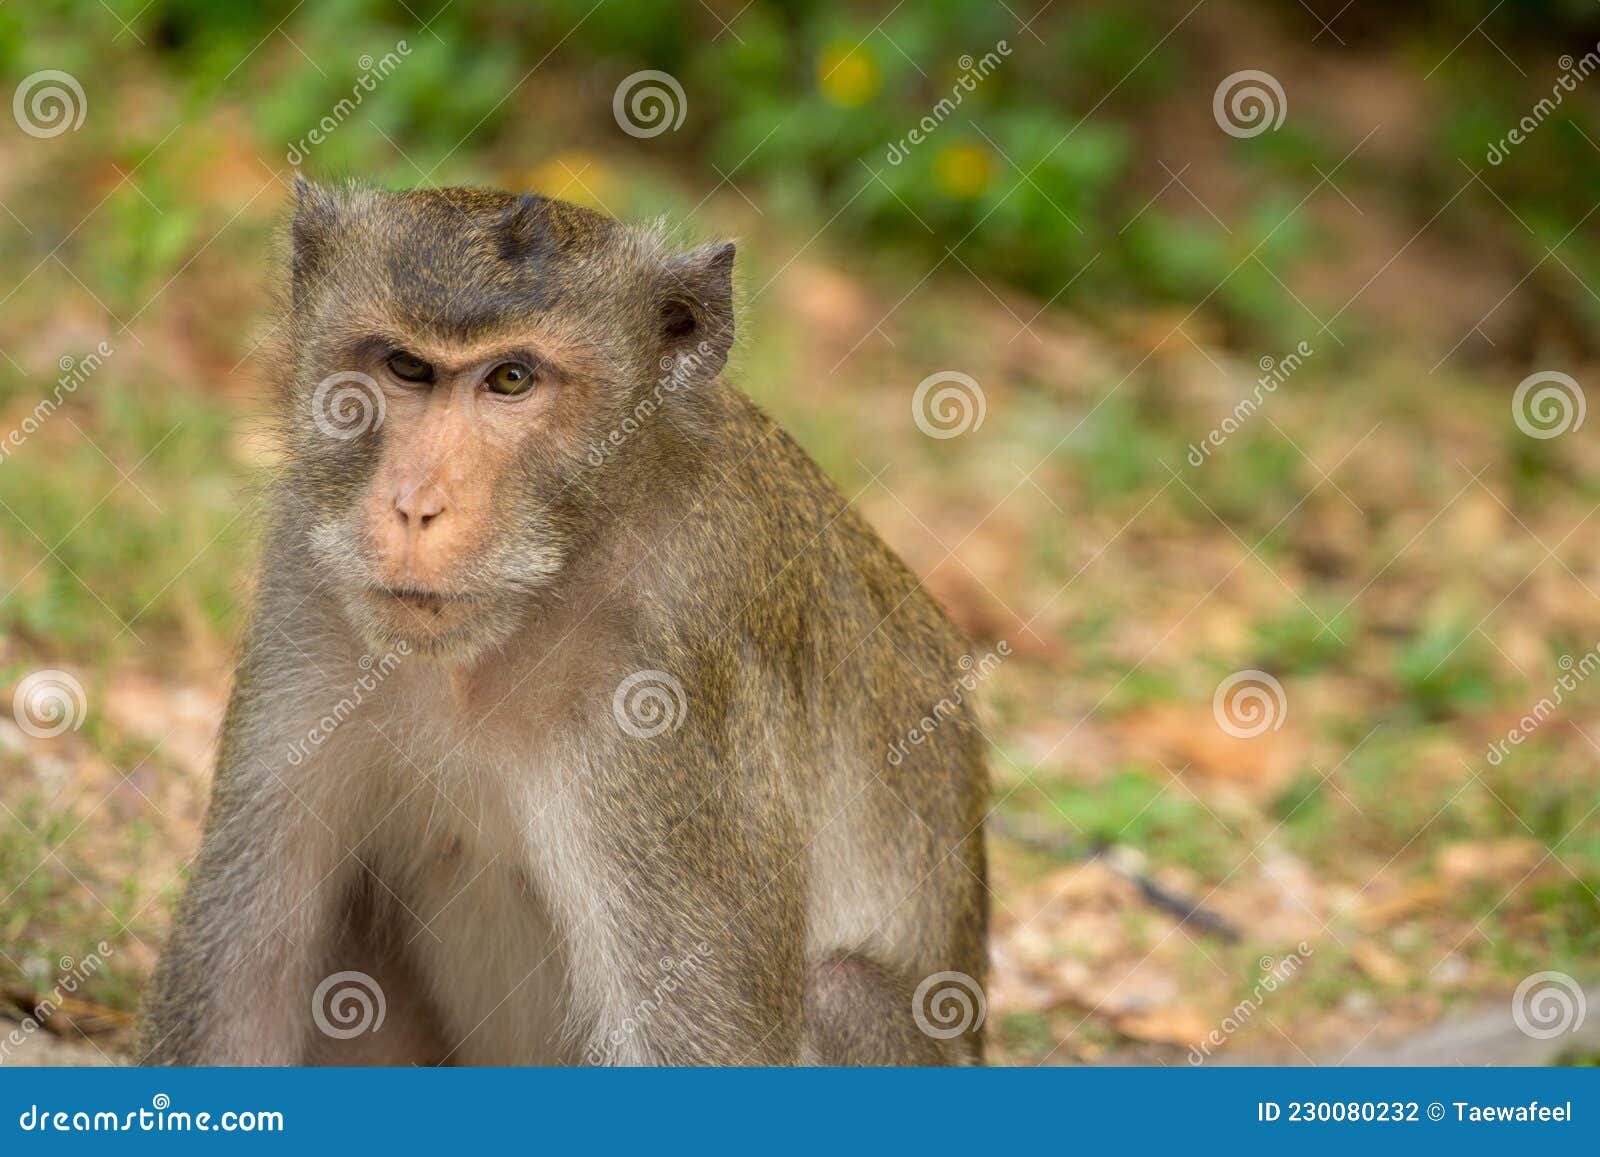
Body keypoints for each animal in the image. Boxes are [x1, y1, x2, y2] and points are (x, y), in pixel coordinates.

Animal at [137, 179, 988, 1066]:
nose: (415, 506)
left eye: (511, 379)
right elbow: (243, 979)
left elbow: (703, 1044)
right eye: (406, 367)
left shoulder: (676, 676)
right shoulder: (308, 586)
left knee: (840, 992)